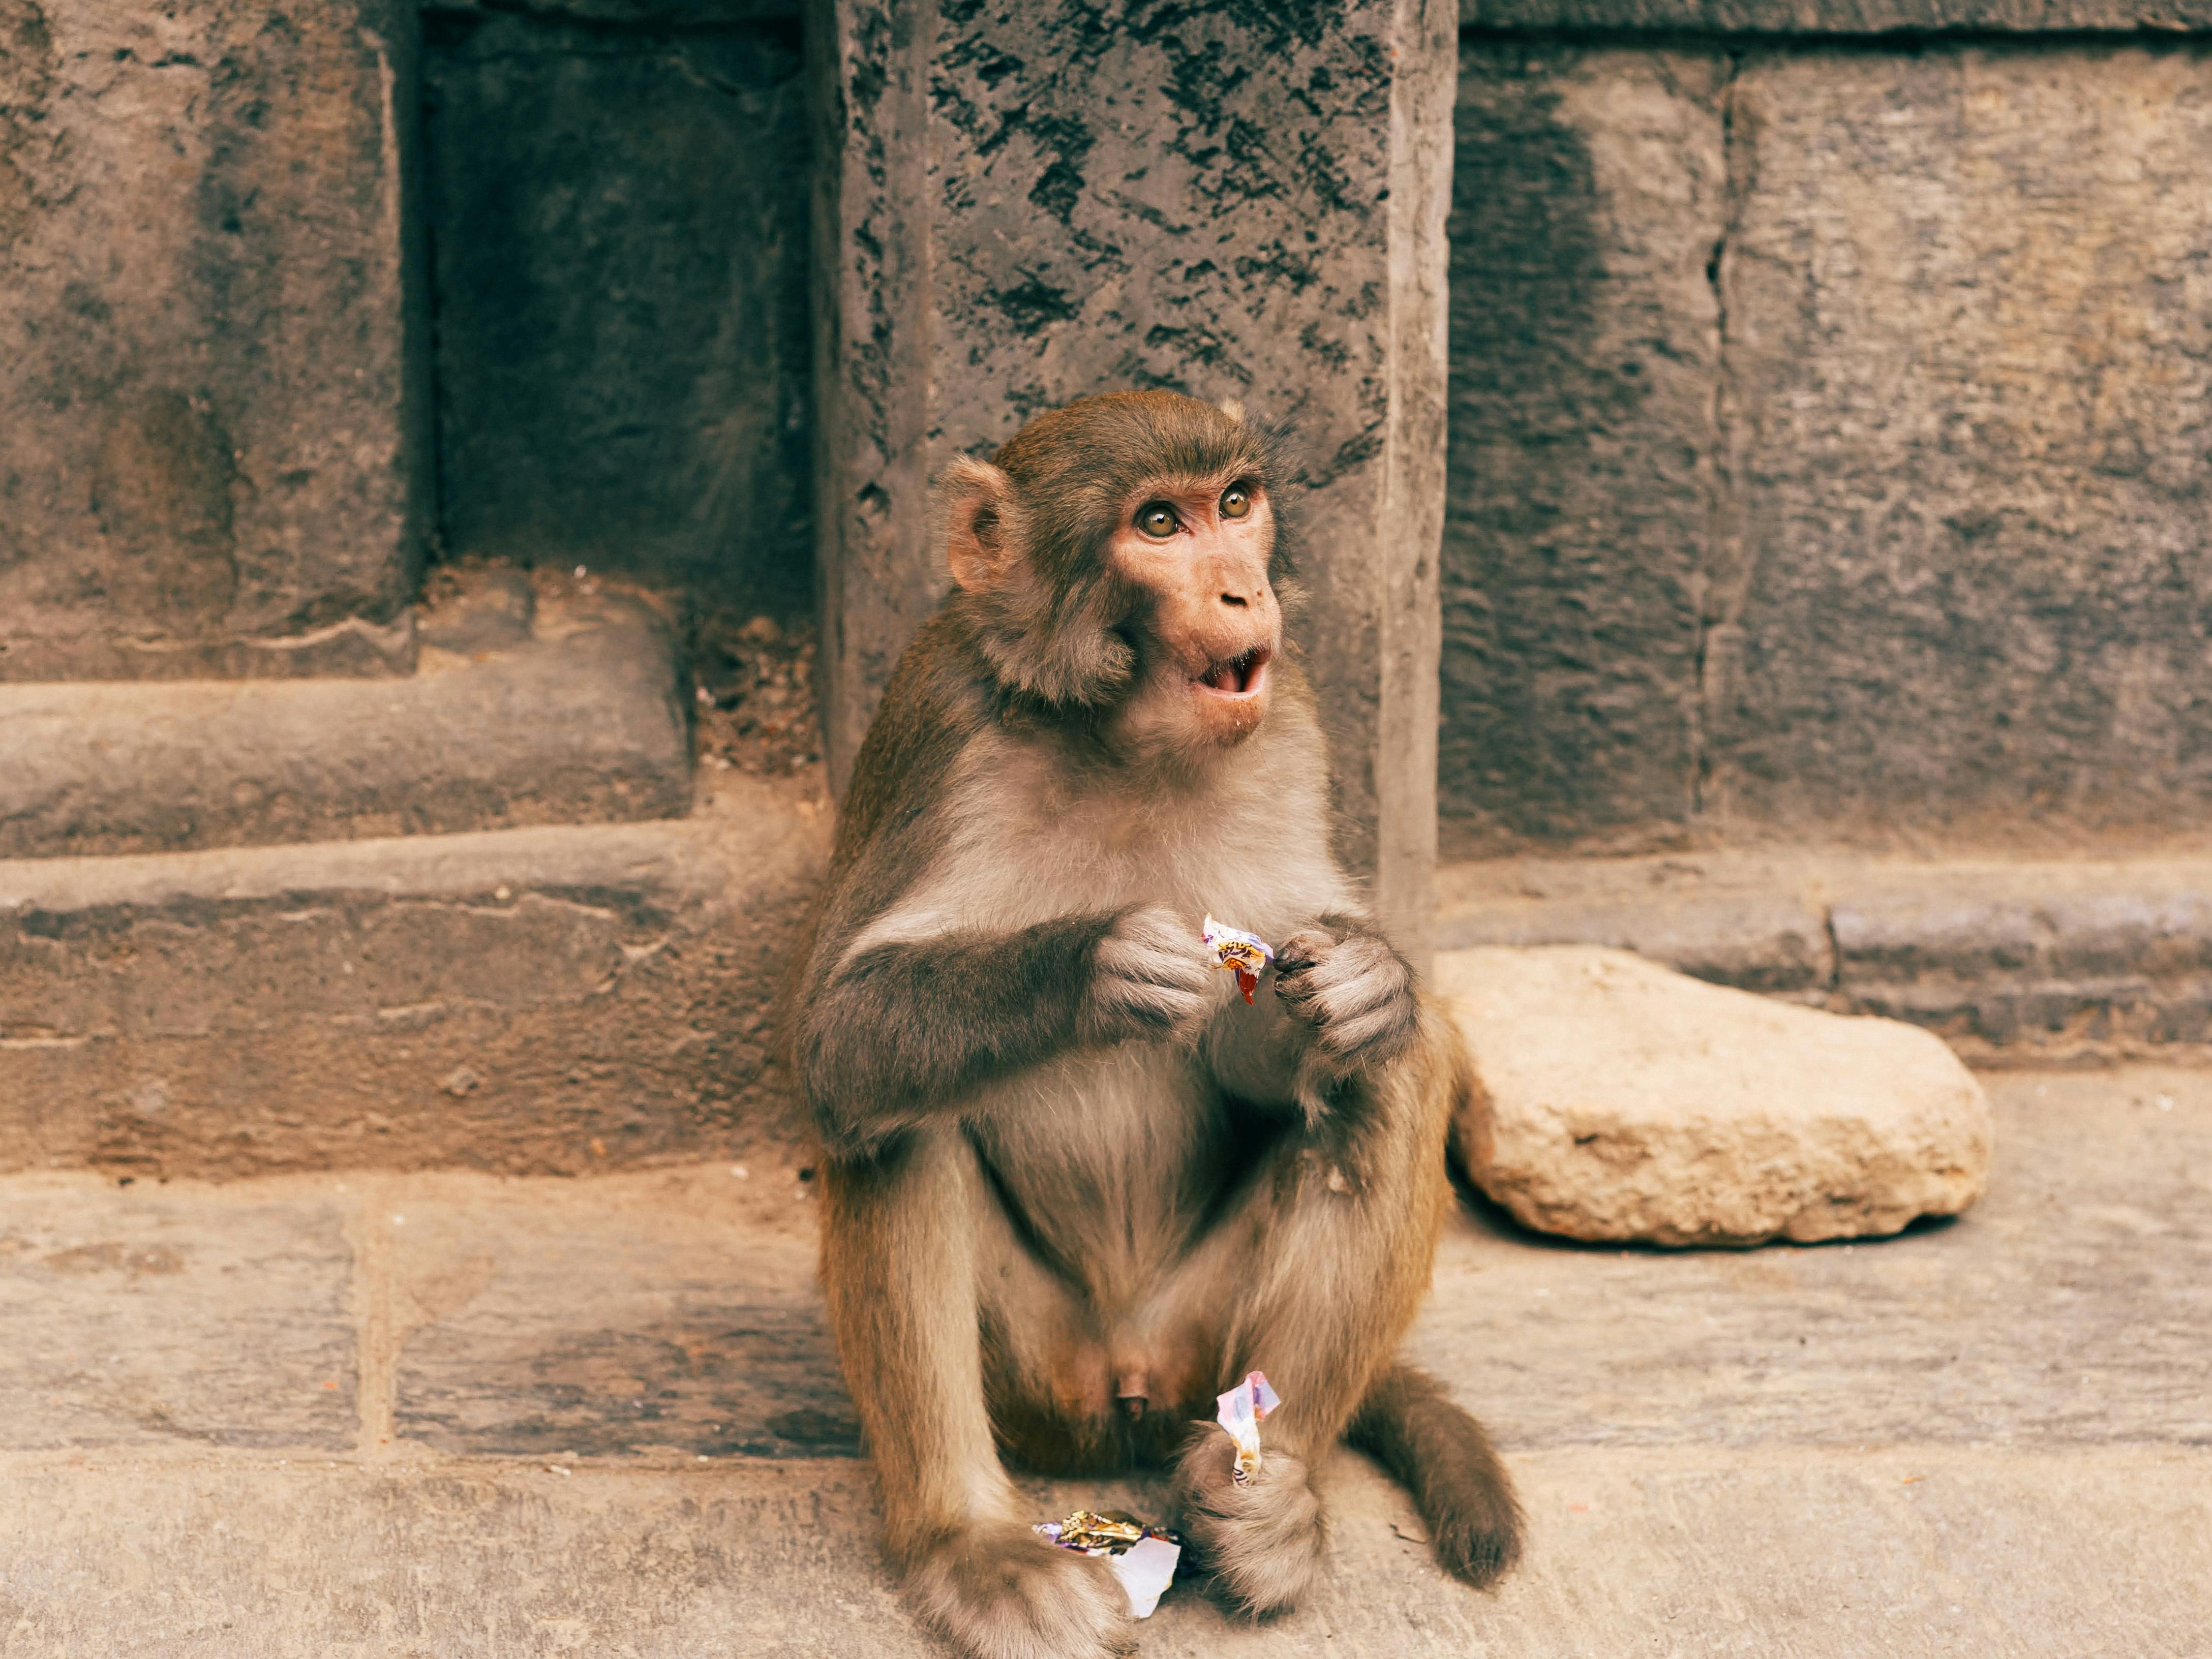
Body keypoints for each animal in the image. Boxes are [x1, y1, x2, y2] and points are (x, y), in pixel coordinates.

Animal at [791, 390, 1521, 1659]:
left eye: (1235, 503)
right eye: (1160, 525)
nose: (1242, 591)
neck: (1121, 740)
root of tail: (1125, 1384)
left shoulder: (1295, 727)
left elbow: (1302, 1038)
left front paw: (1368, 982)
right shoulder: (933, 721)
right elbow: (837, 1038)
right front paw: (1098, 967)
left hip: (1205, 1341)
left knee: (1390, 1078)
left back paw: (1270, 1492)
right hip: (1035, 1373)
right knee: (891, 1116)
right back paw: (970, 1543)